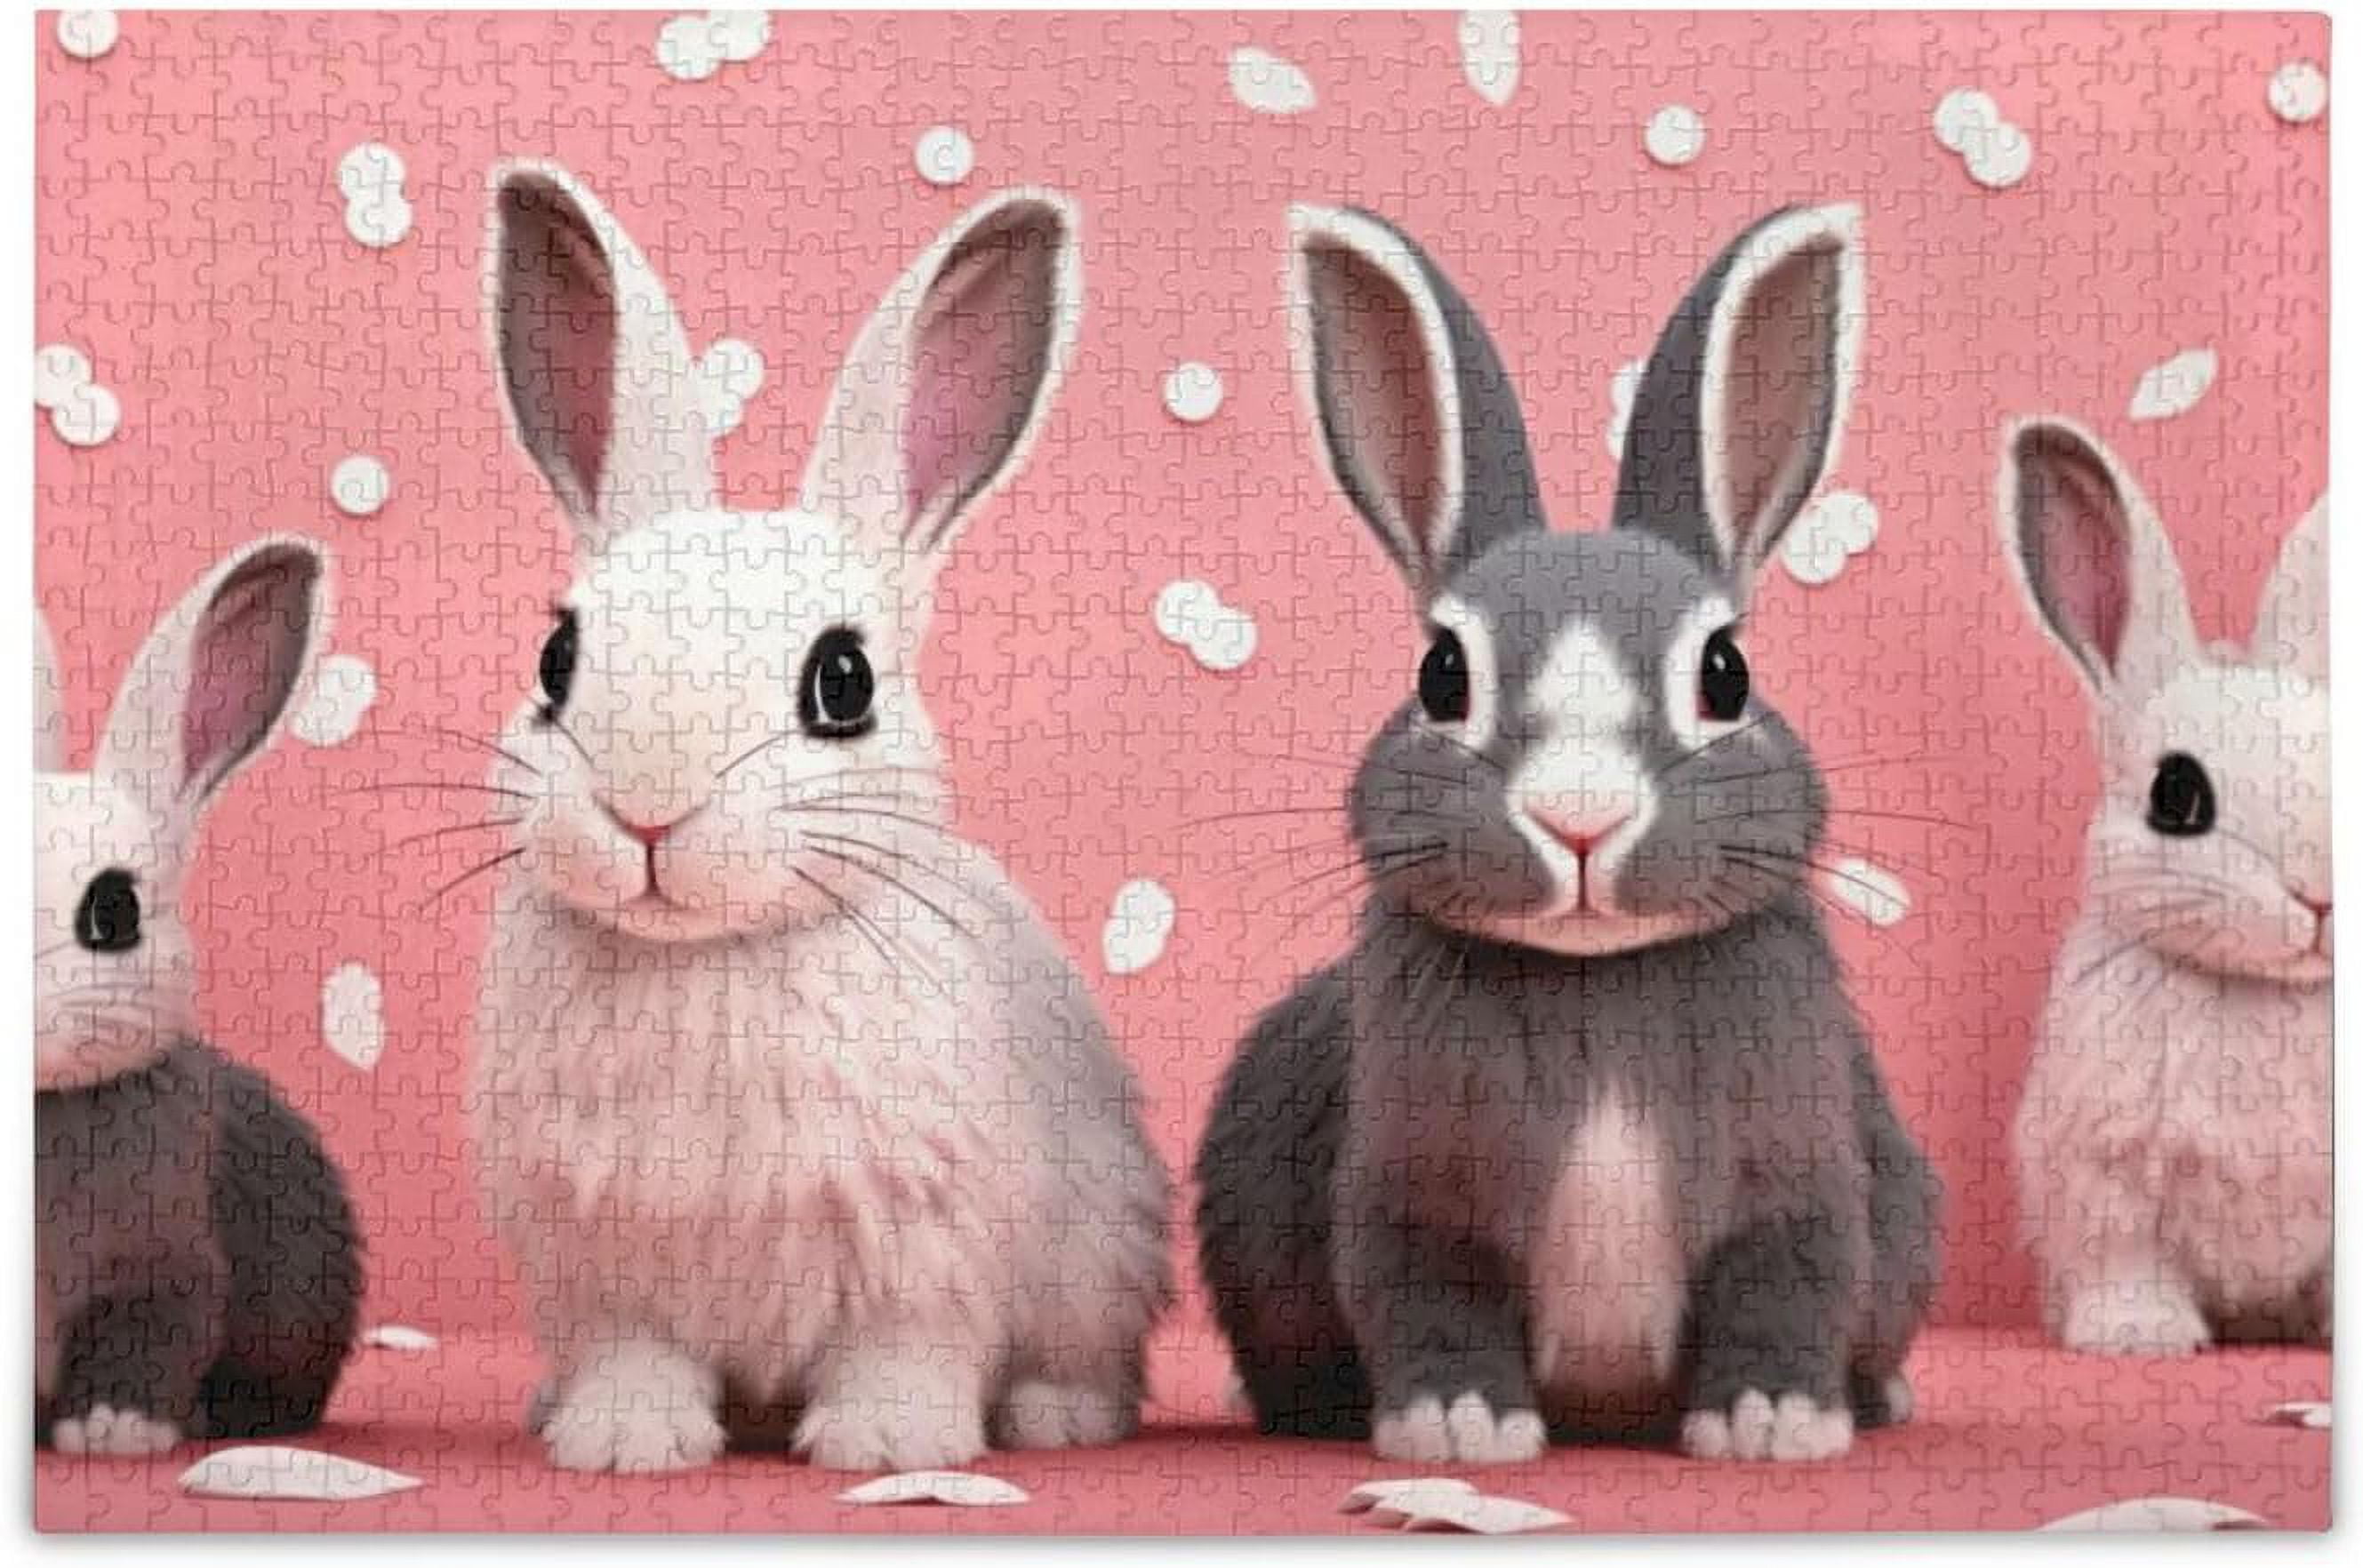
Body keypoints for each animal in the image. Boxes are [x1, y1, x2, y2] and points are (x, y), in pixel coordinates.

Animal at [470, 161, 1171, 1475]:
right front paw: (624, 1443)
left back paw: (1057, 1420)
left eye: (841, 683)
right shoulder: (599, 1265)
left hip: (1101, 1258)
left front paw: (889, 1447)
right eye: (556, 659)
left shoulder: (925, 1247)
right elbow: (632, 1357)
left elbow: (905, 1350)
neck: (709, 957)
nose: (646, 811)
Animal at [1194, 203, 1941, 1465]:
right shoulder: (1413, 1197)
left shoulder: (1796, 1184)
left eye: (1725, 673)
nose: (1579, 816)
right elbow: (1431, 1298)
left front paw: (1770, 1424)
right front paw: (1457, 1432)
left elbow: (1786, 1283)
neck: (1598, 976)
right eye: (1442, 677)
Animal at [2000, 419, 2330, 1355]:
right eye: (2177, 795)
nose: (2320, 899)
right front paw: (2136, 1337)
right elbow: (2128, 1263)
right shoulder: (2103, 1177)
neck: (2254, 988)